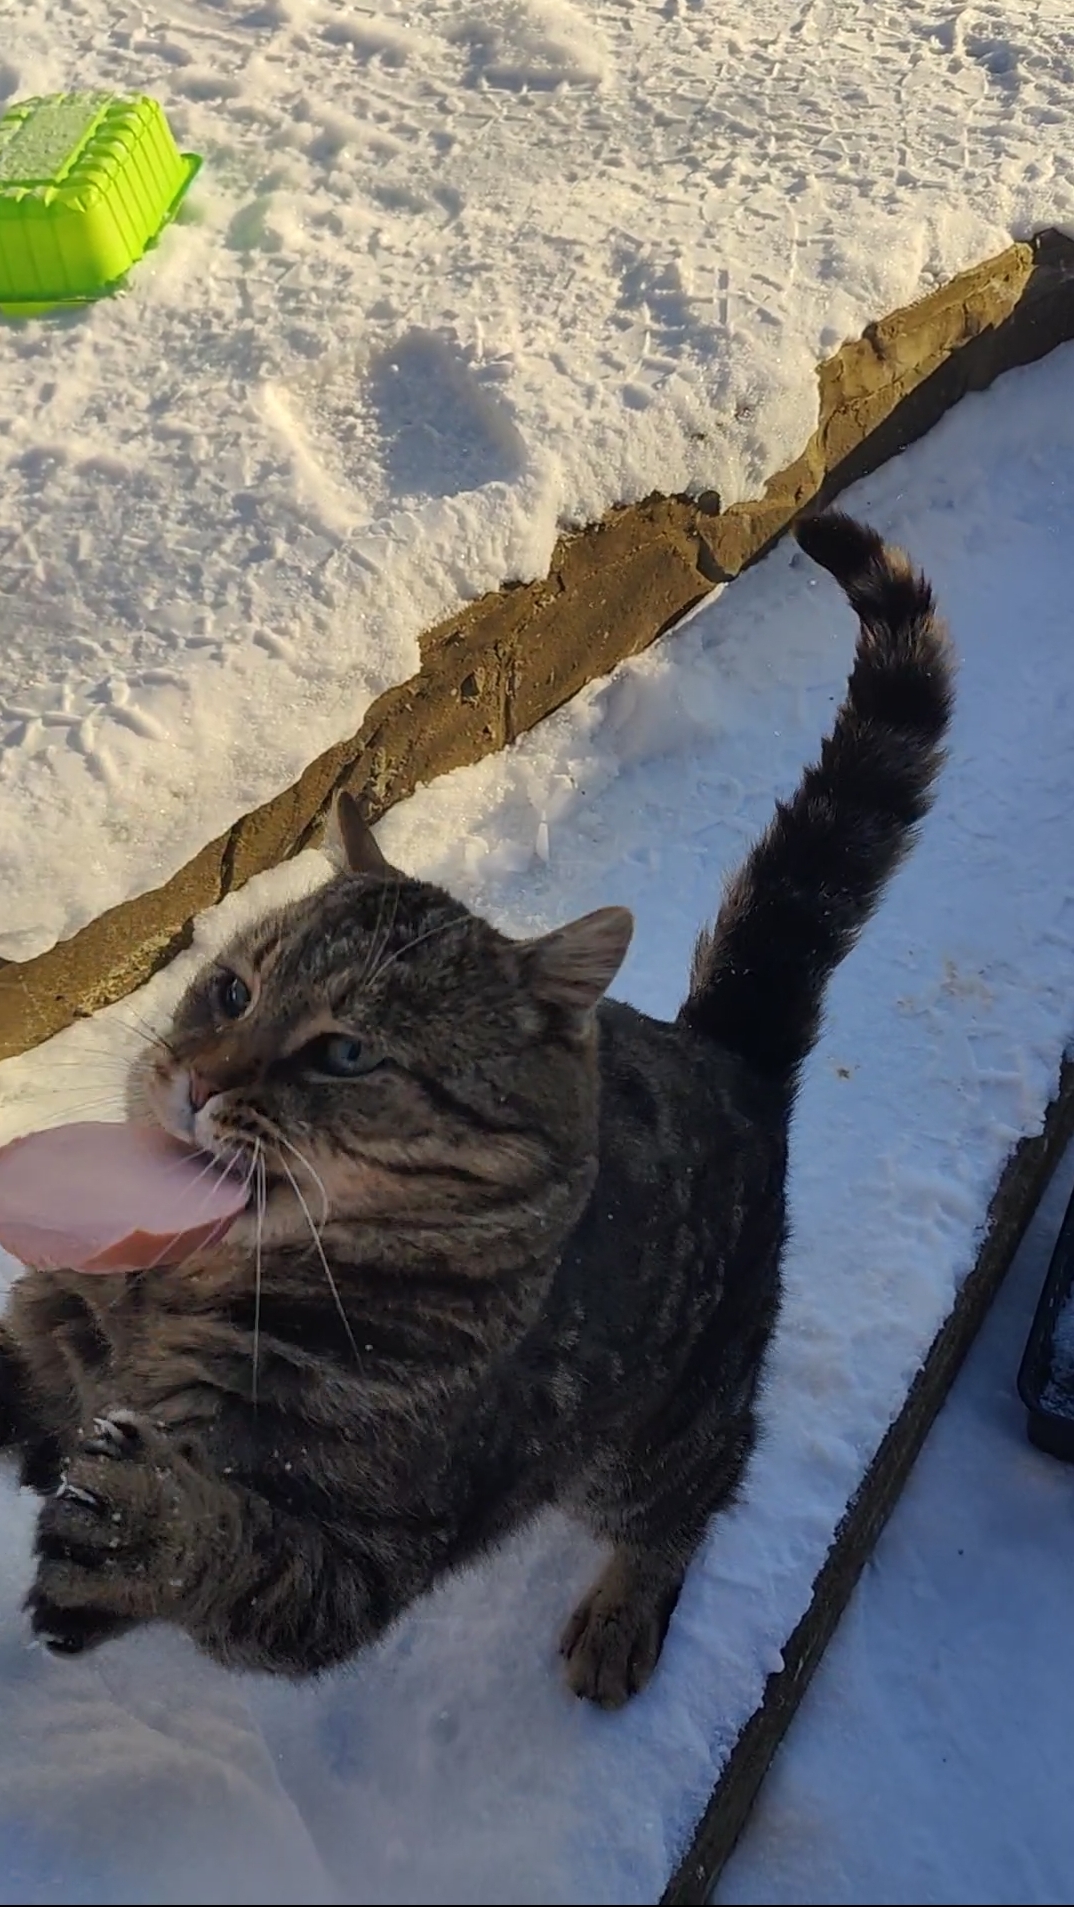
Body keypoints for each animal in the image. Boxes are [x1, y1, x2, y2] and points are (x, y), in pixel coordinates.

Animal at [0, 511, 952, 1709]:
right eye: (230, 991)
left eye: (347, 1052)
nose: (195, 1080)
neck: (197, 1280)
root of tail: (724, 1046)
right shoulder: (51, 1337)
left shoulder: (364, 1554)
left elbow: (244, 1552)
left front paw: (142, 1527)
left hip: (664, 1426)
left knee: (693, 1493)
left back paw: (623, 1612)